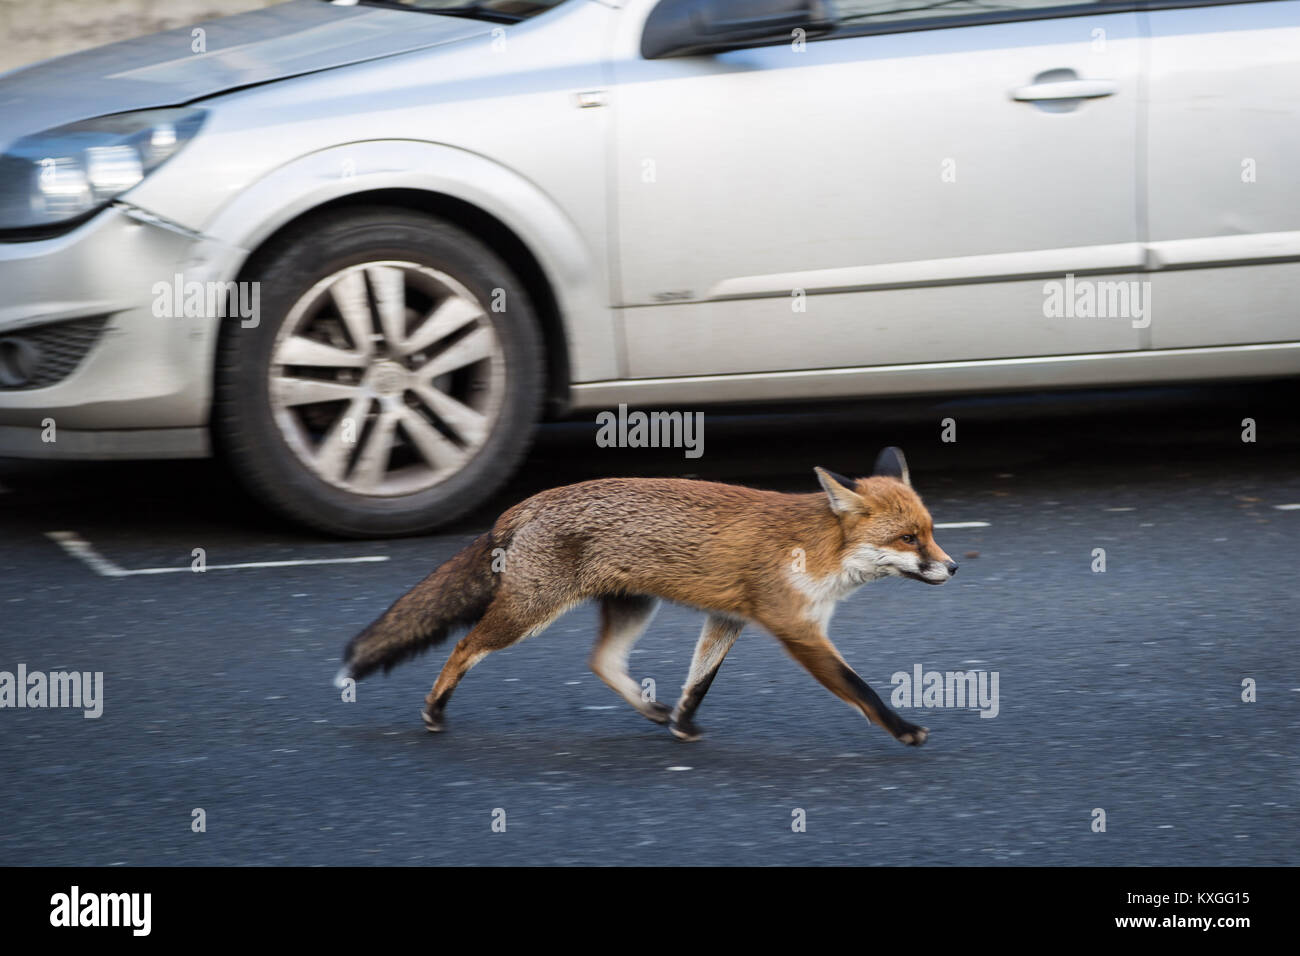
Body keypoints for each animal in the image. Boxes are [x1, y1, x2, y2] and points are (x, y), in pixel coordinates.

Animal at [334, 447, 957, 746]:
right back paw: (434, 709)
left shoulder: (727, 620)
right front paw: (904, 730)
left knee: (600, 661)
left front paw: (682, 723)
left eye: (931, 532)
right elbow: (862, 690)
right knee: (464, 647)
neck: (819, 550)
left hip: (632, 607)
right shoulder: (797, 630)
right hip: (528, 613)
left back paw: (652, 711)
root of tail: (522, 504)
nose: (952, 567)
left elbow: (699, 683)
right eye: (908, 539)